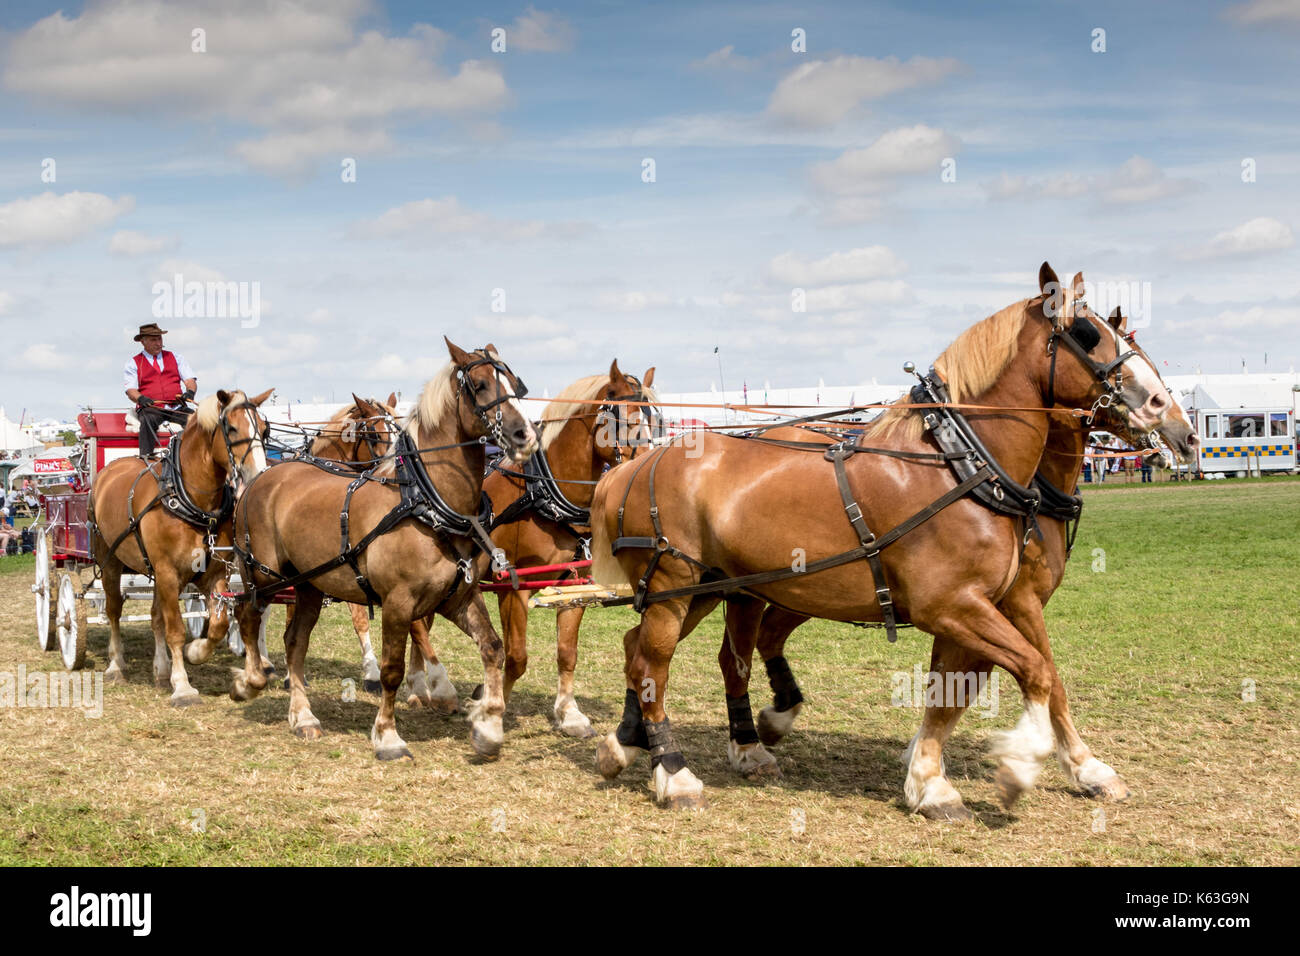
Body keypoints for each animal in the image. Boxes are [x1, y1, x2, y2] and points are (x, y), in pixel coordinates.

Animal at [89, 389, 273, 705]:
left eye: (263, 429)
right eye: (231, 428)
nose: (259, 473)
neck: (192, 501)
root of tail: (111, 468)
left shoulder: (213, 573)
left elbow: (217, 626)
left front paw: (195, 652)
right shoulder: (167, 571)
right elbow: (175, 628)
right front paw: (183, 686)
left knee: (155, 618)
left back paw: (161, 670)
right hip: (109, 560)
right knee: (114, 610)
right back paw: (116, 665)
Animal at [230, 339, 537, 761]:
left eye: (516, 382)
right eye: (478, 385)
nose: (525, 434)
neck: (427, 502)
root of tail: (261, 477)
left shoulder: (458, 596)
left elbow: (492, 648)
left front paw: (488, 727)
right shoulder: (398, 602)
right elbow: (392, 670)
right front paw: (388, 736)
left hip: (308, 584)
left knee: (295, 641)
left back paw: (303, 716)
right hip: (263, 575)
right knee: (246, 615)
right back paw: (251, 680)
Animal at [405, 360, 659, 736]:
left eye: (656, 420)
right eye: (624, 420)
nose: (647, 467)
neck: (545, 495)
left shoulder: (573, 585)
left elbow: (567, 652)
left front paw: (569, 713)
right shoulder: (514, 589)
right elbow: (516, 657)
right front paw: (487, 707)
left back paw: (417, 685)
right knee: (419, 627)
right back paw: (436, 688)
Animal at [588, 264, 1183, 810]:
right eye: (1087, 335)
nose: (1169, 413)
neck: (962, 466)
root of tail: (637, 464)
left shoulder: (976, 606)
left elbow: (959, 691)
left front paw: (931, 778)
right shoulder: (961, 604)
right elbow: (1037, 673)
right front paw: (1021, 766)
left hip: (710, 589)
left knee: (642, 649)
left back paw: (630, 745)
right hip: (676, 585)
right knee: (654, 664)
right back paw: (674, 773)